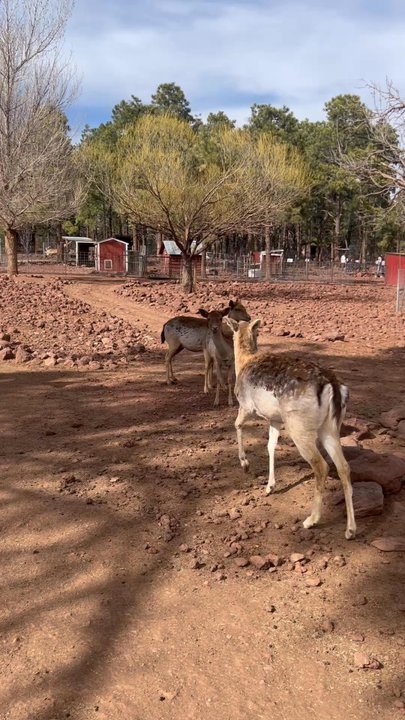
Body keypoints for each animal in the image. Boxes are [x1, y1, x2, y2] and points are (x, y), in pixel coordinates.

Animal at [225, 318, 356, 540]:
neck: (243, 362)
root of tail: (333, 386)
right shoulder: (275, 419)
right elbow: (270, 446)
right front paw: (270, 487)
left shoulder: (246, 405)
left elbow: (237, 424)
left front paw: (245, 464)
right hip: (330, 428)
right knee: (344, 466)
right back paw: (350, 529)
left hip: (299, 427)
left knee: (321, 466)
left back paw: (311, 520)